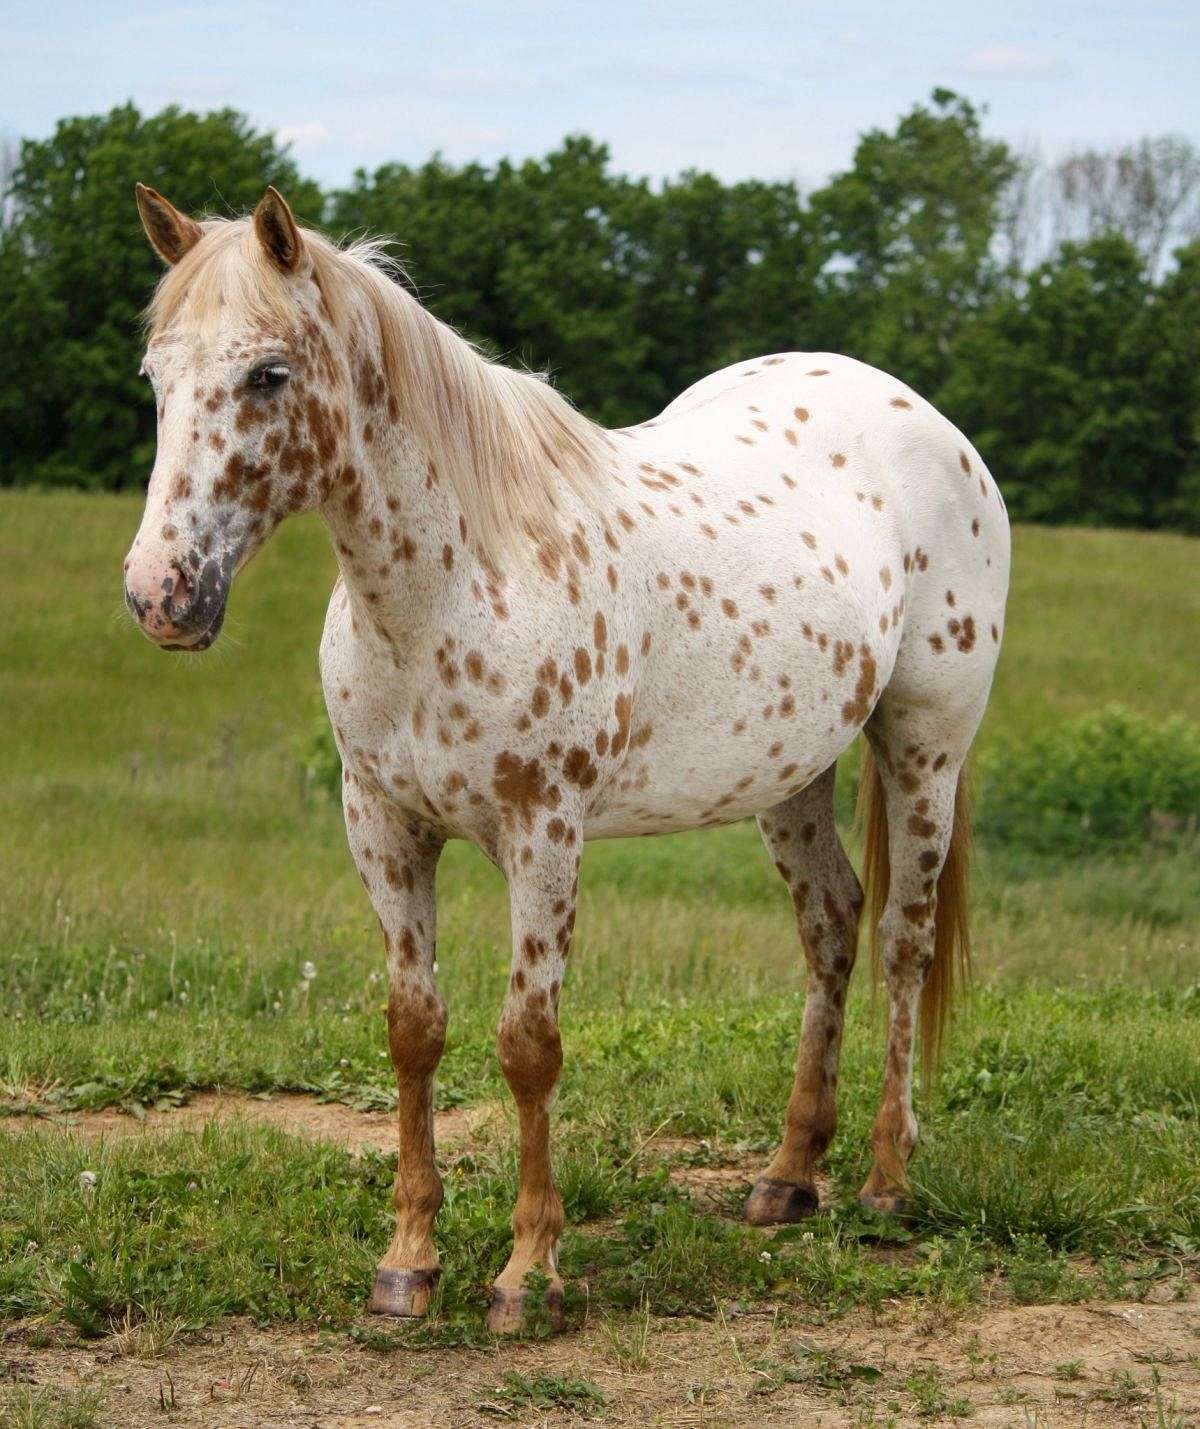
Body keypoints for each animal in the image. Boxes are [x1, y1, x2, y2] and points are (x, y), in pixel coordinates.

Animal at [125, 184, 1010, 1333]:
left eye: (269, 373)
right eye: (156, 376)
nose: (161, 594)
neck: (452, 589)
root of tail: (928, 421)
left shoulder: (543, 831)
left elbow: (528, 1045)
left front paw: (527, 1271)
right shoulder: (382, 825)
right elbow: (414, 1029)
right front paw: (408, 1263)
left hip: (923, 743)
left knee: (905, 938)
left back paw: (885, 1179)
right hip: (791, 774)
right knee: (832, 925)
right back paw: (787, 1176)